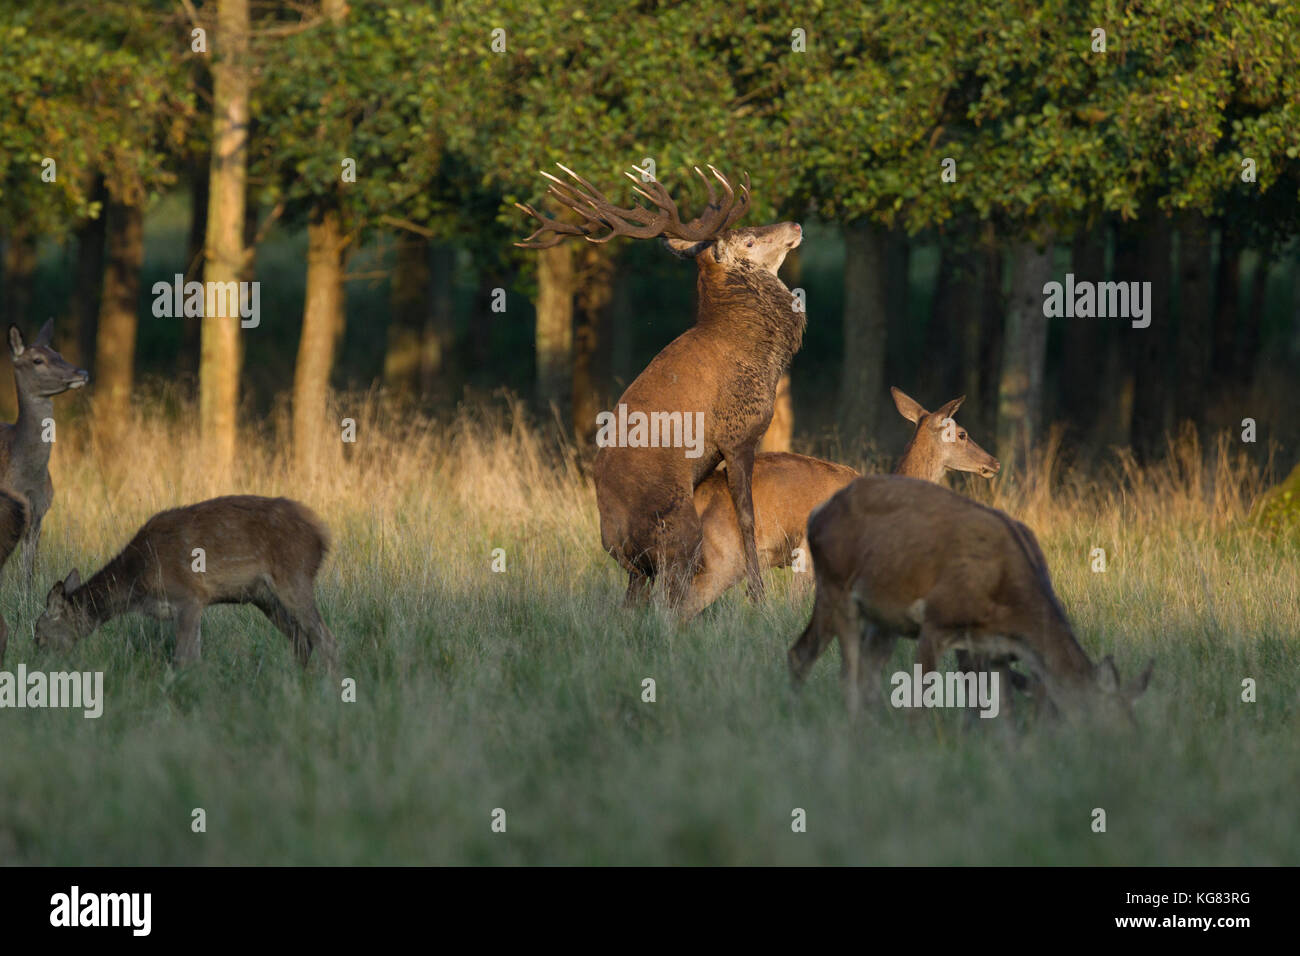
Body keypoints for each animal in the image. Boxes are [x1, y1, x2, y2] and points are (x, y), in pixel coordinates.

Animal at [34, 495, 338, 671]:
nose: (38, 660)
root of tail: (323, 534)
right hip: (264, 596)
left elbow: (184, 658)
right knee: (302, 639)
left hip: (293, 575)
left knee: (325, 637)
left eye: (38, 633)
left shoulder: (190, 596)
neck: (138, 581)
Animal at [517, 164, 803, 609]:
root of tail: (616, 545)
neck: (763, 354)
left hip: (639, 567)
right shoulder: (739, 433)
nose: (795, 224)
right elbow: (748, 519)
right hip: (679, 527)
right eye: (750, 239)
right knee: (670, 595)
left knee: (635, 599)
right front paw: (758, 598)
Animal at [787, 475, 1154, 722]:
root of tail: (816, 514)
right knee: (827, 664)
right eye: (1105, 720)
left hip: (882, 617)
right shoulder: (935, 620)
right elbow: (921, 703)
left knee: (858, 669)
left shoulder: (995, 649)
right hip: (836, 588)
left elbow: (999, 711)